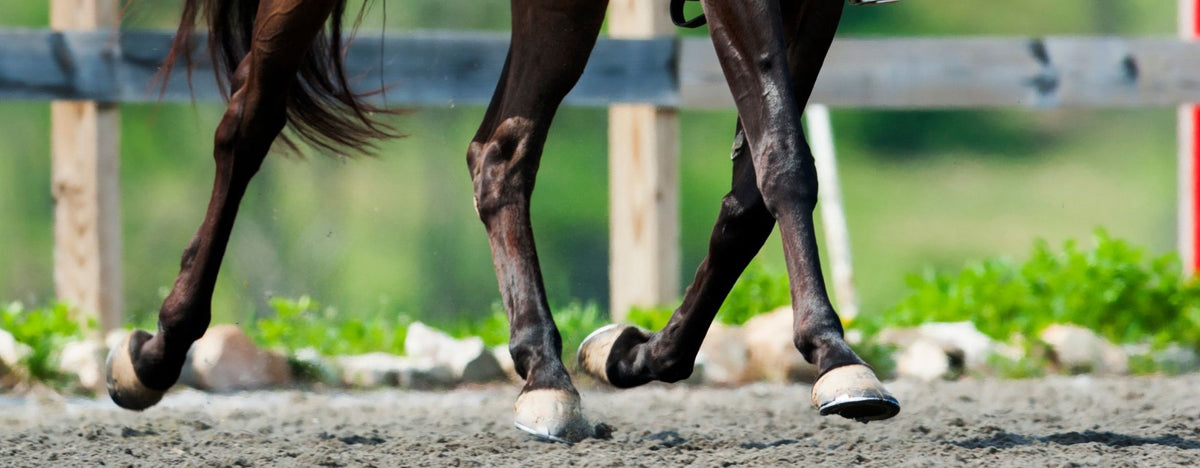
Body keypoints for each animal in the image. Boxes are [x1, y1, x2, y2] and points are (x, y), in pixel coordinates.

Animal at [104, 0, 901, 443]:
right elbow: (782, 158)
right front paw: (836, 356)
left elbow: (754, 188)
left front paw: (638, 353)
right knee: (247, 123)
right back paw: (156, 352)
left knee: (499, 155)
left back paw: (546, 374)